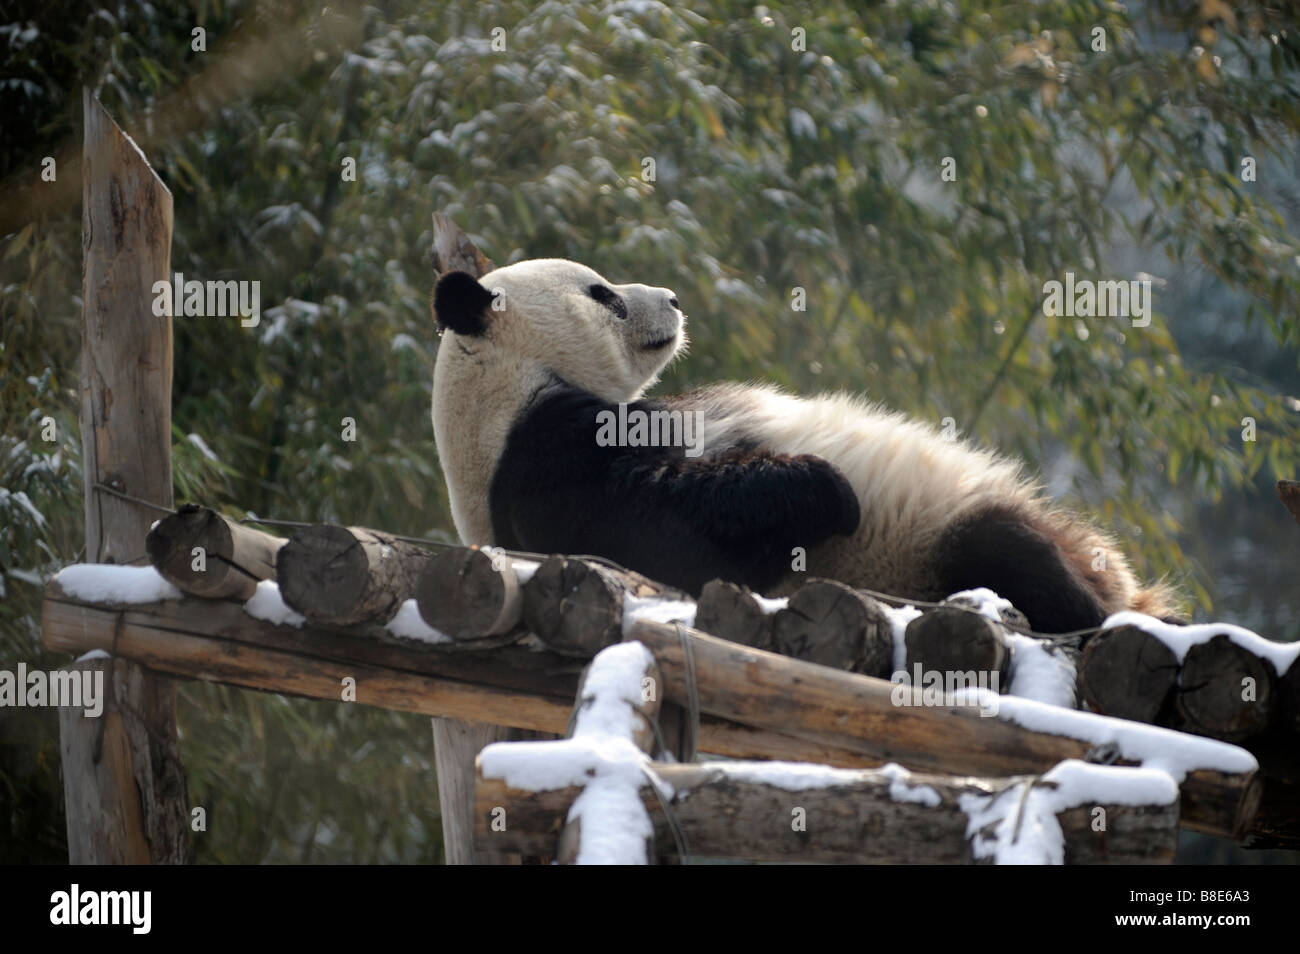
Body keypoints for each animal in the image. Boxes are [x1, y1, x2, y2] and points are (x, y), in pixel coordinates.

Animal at [430, 258, 1178, 634]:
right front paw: (830, 487)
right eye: (602, 294)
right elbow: (680, 520)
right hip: (929, 548)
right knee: (1009, 554)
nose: (672, 299)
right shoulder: (544, 466)